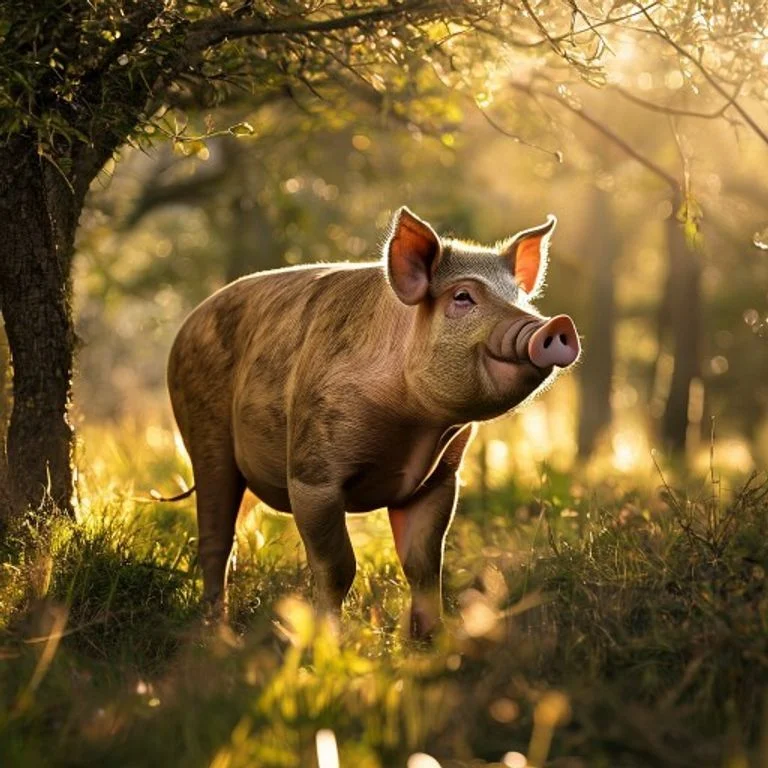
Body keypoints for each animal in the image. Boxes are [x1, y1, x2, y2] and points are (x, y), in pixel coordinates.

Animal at [167, 207, 579, 639]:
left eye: (521, 298)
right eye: (463, 297)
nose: (556, 324)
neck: (417, 425)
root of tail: (187, 324)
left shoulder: (440, 478)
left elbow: (423, 566)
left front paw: (431, 642)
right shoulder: (313, 476)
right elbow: (337, 567)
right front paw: (329, 643)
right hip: (204, 431)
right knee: (215, 539)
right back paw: (217, 634)